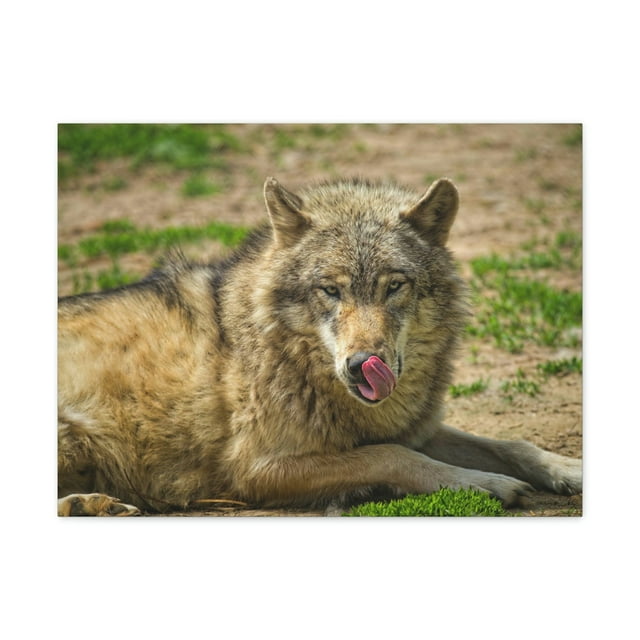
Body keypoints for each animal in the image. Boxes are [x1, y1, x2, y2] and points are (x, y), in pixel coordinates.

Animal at [58, 176, 582, 515]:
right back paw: (86, 505)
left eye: (394, 286)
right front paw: (483, 485)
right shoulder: (257, 469)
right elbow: (393, 457)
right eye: (331, 290)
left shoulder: (415, 428)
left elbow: (513, 444)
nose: (361, 365)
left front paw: (569, 469)